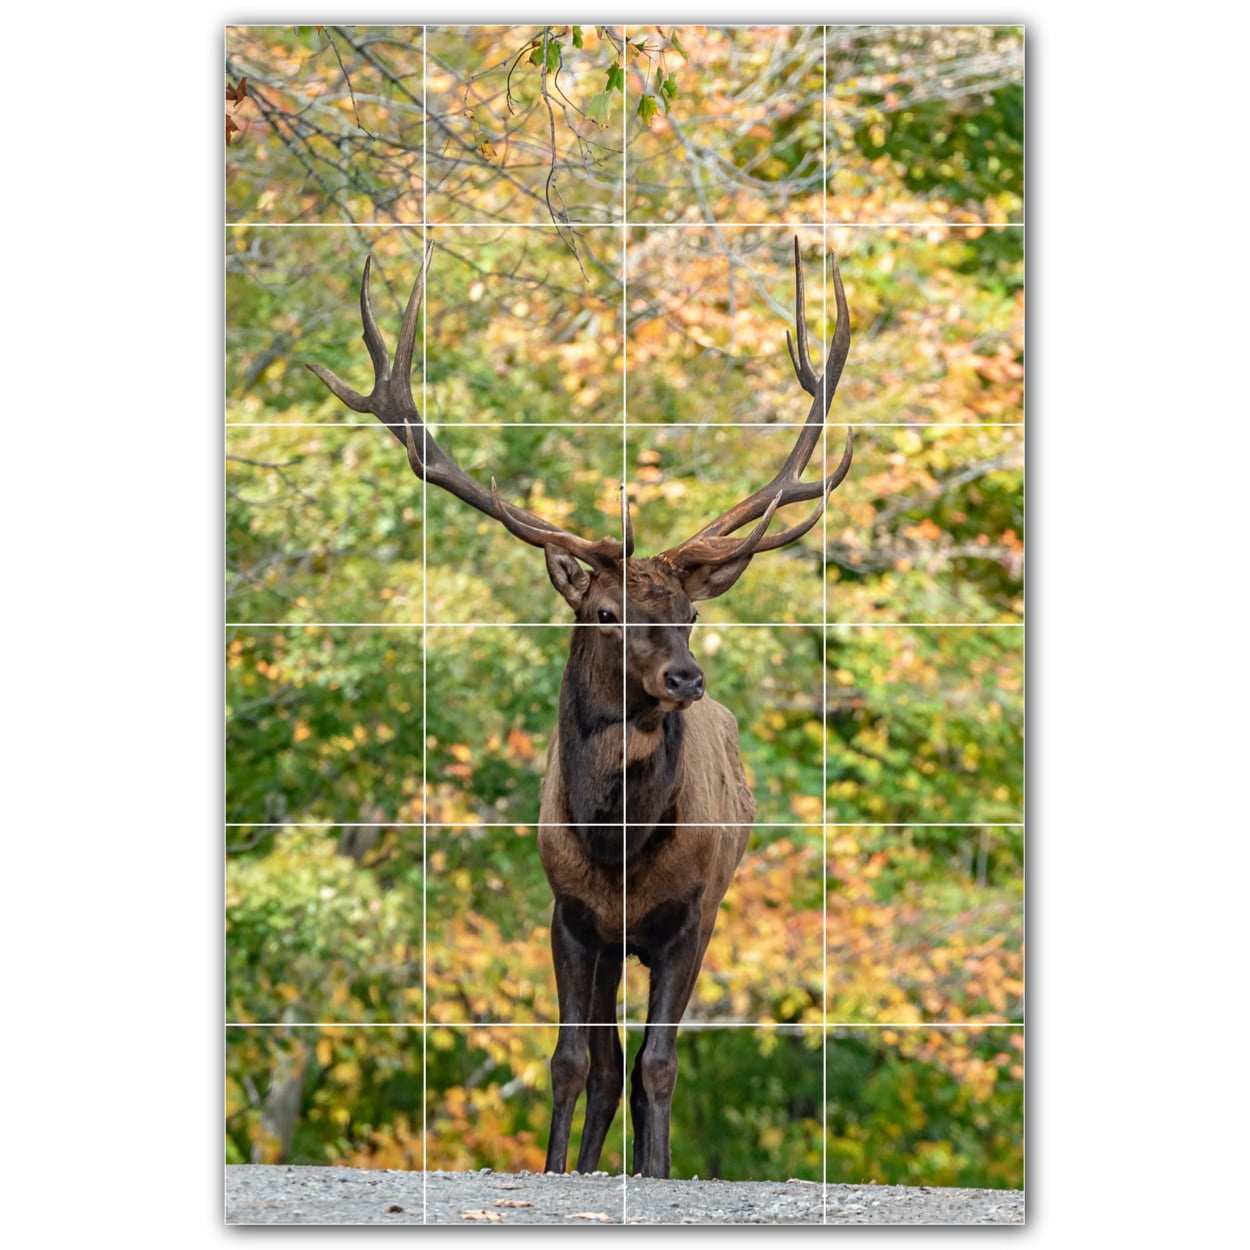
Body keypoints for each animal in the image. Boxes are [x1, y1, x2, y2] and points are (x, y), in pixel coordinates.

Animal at [308, 237, 853, 1180]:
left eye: (689, 611)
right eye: (605, 611)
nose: (685, 678)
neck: (617, 842)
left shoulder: (691, 916)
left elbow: (659, 1065)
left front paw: (656, 1173)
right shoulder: (569, 915)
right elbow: (570, 1061)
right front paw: (559, 1168)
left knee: (632, 1064)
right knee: (600, 1064)